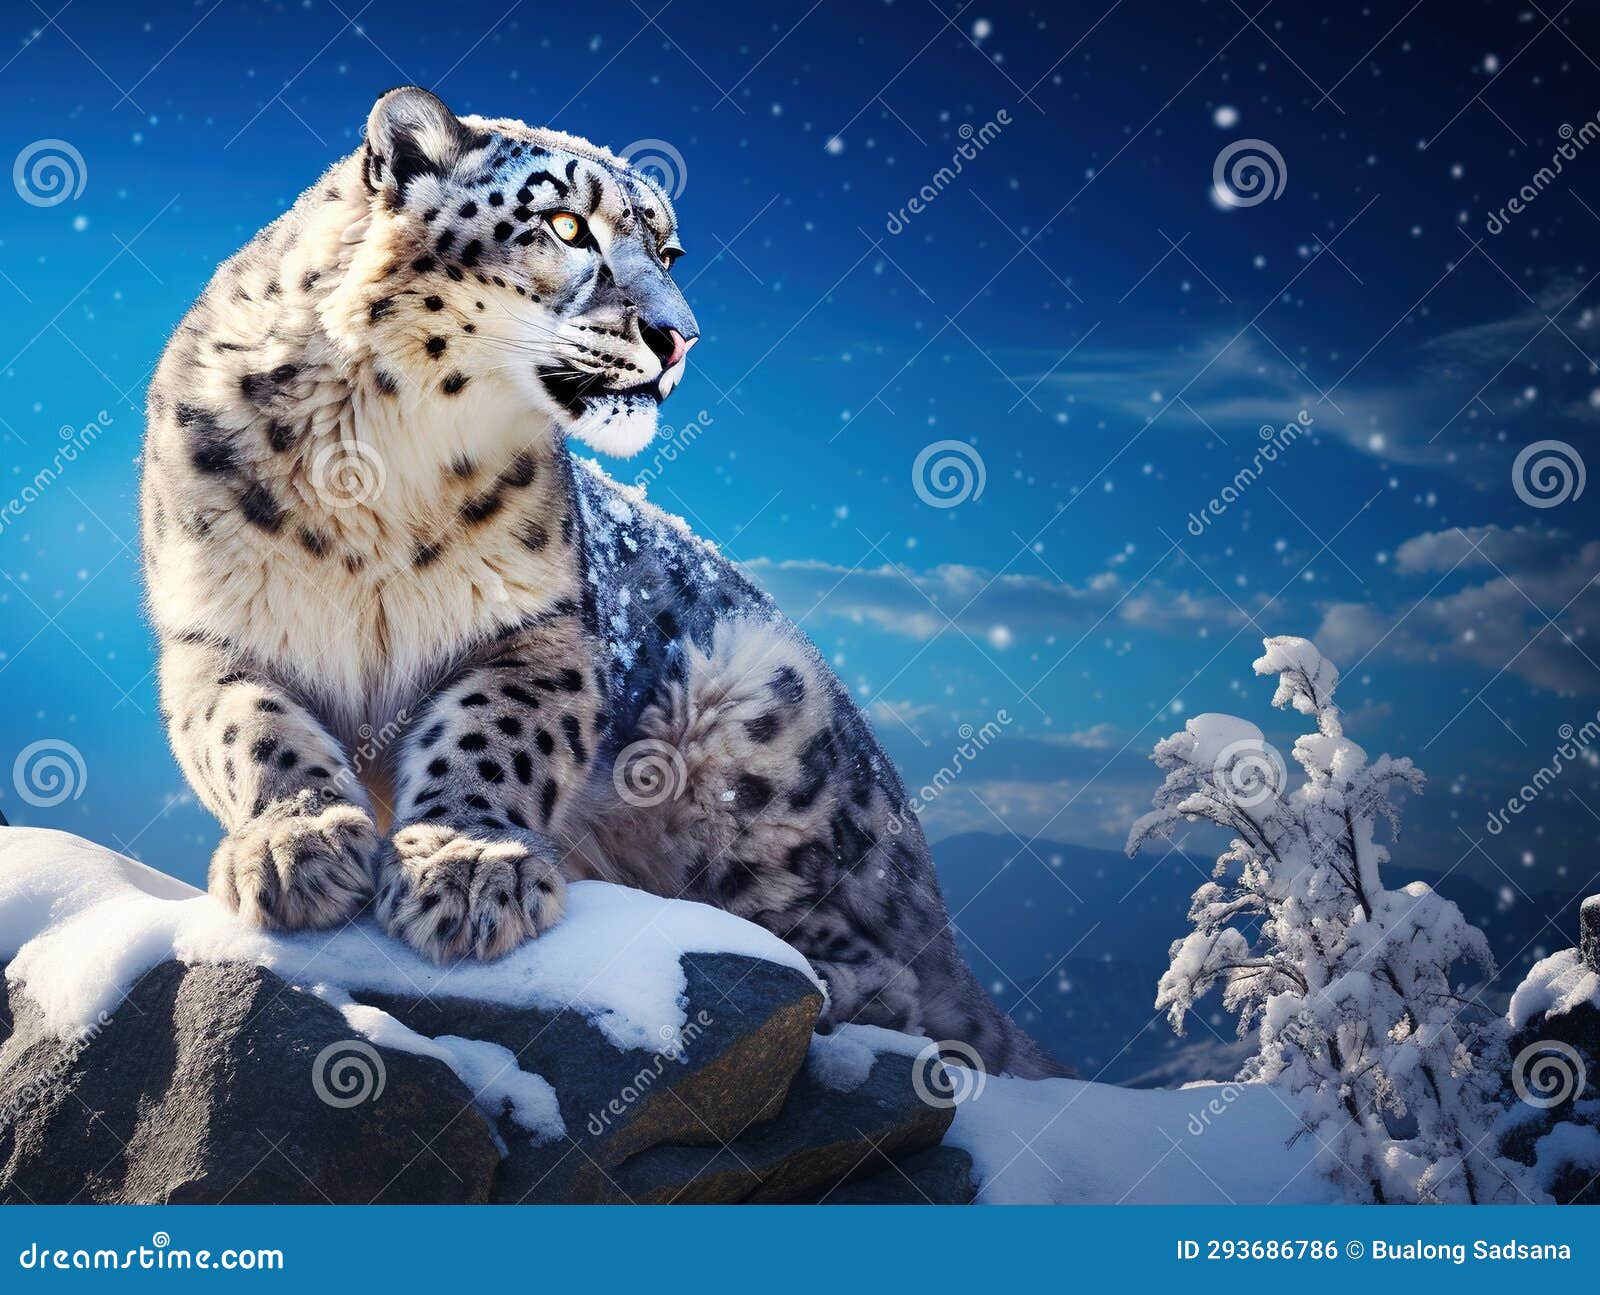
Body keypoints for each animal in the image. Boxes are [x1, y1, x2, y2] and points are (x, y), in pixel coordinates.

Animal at [140, 87, 1065, 1080]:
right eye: (564, 223)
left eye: (669, 252)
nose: (680, 336)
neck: (377, 465)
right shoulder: (213, 629)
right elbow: (250, 730)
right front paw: (296, 849)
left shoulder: (542, 625)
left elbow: (491, 732)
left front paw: (469, 868)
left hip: (761, 706)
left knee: (882, 976)